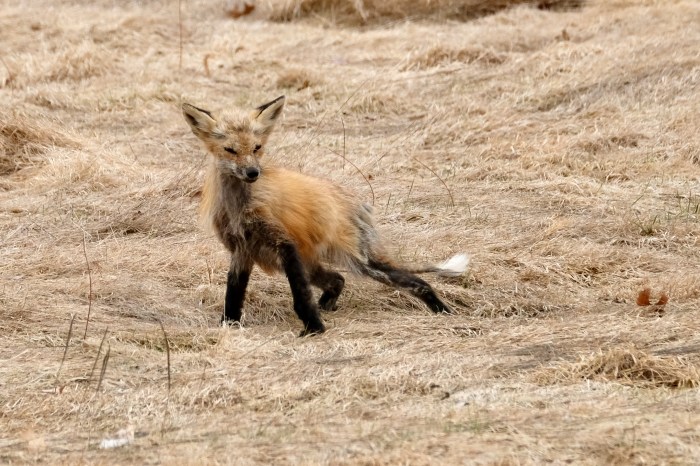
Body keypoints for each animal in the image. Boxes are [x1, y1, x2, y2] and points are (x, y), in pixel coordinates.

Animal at [182, 96, 468, 335]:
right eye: (230, 150)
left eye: (257, 148)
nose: (253, 173)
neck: (239, 207)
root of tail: (357, 203)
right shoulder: (242, 250)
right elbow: (233, 295)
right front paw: (228, 326)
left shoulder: (284, 244)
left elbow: (300, 296)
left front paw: (314, 329)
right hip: (309, 265)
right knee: (338, 279)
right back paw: (328, 303)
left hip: (361, 264)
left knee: (417, 282)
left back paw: (443, 311)